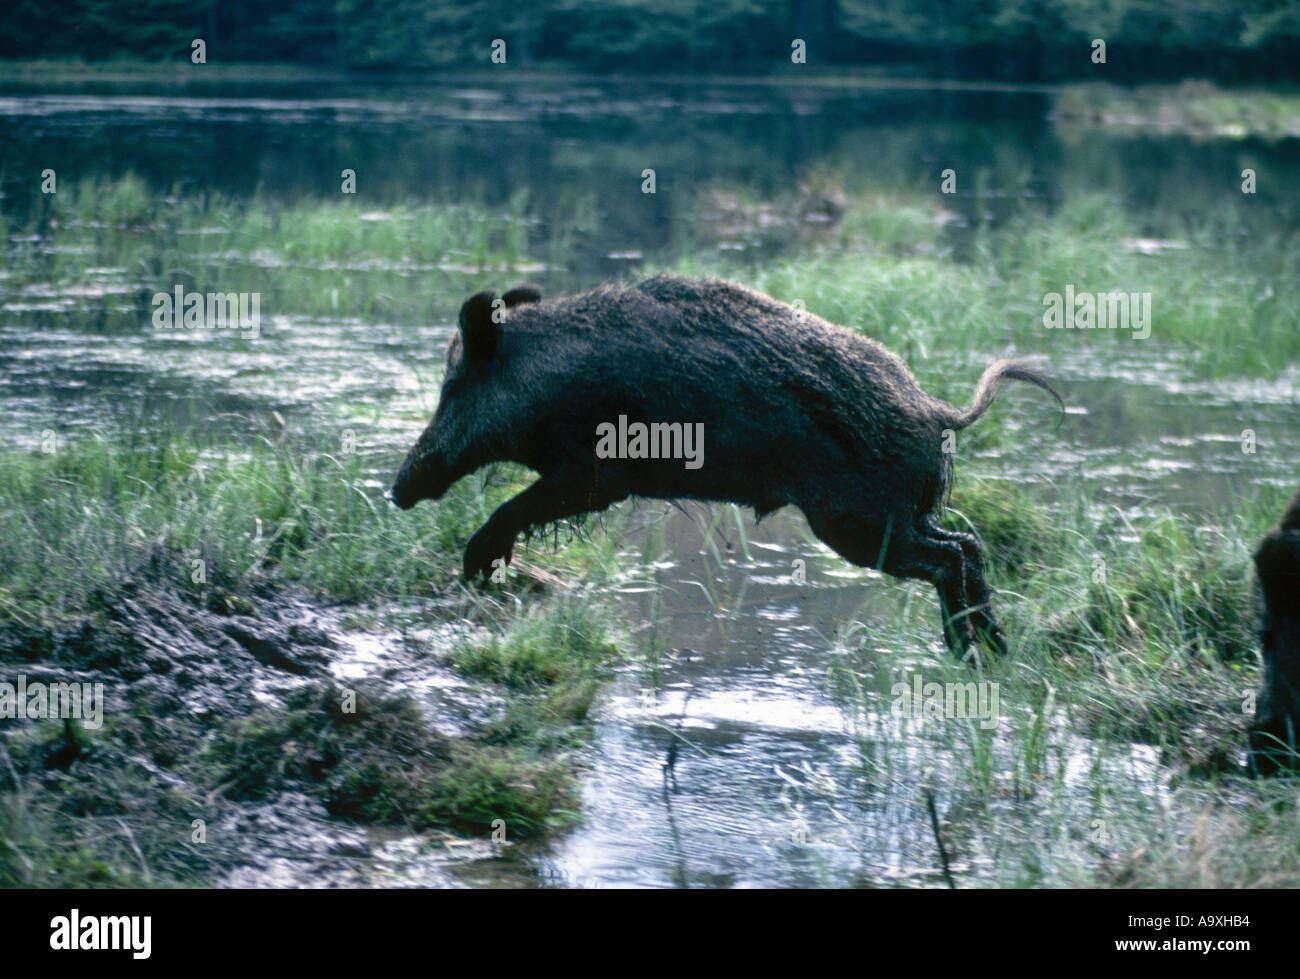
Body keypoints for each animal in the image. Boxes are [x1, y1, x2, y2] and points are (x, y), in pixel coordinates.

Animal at [389, 275, 1062, 657]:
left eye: (454, 387)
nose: (398, 489)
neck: (547, 377)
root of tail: (938, 410)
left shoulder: (595, 473)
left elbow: (519, 507)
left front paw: (476, 566)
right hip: (895, 516)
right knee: (967, 544)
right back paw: (987, 650)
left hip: (857, 523)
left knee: (951, 554)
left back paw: (970, 651)